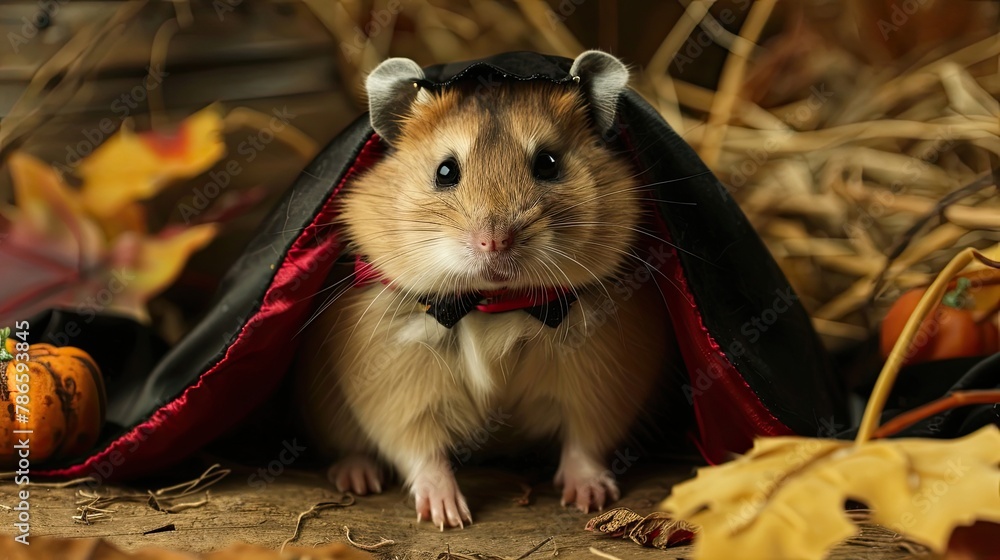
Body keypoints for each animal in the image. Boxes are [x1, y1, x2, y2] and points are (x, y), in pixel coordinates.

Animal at [295, 50, 673, 530]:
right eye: (445, 171)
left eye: (548, 163)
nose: (494, 242)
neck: (492, 304)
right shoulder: (395, 386)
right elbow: (418, 449)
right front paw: (449, 516)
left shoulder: (601, 380)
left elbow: (585, 441)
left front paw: (590, 498)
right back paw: (359, 478)